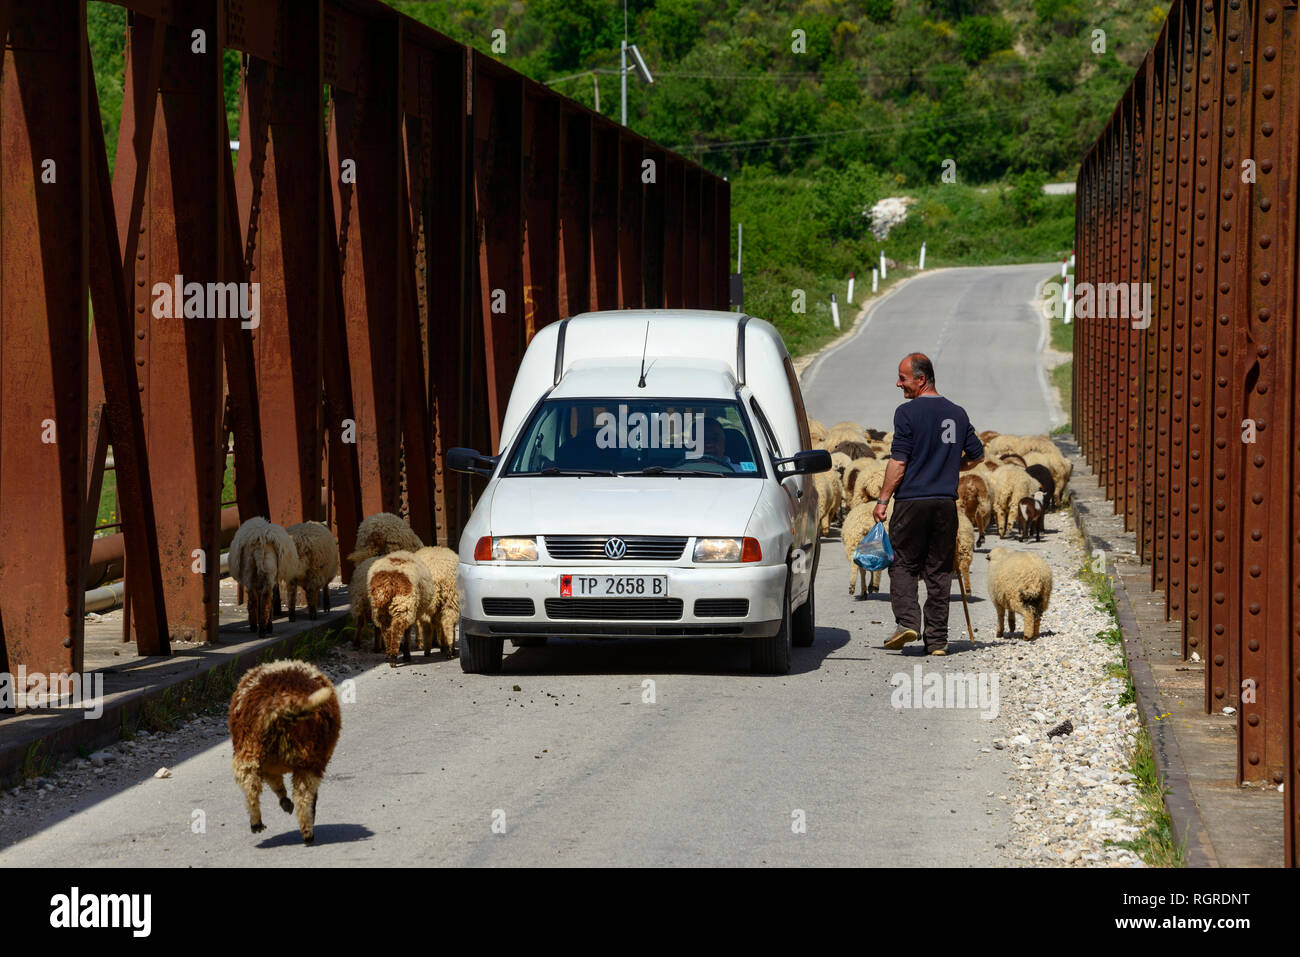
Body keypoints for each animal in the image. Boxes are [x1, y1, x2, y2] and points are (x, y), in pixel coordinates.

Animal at [229, 659, 340, 844]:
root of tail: (279, 705)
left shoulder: (268, 766)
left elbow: (276, 784)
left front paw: (285, 803)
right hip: (309, 757)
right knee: (303, 794)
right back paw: (308, 832)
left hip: (250, 750)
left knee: (250, 784)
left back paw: (256, 822)